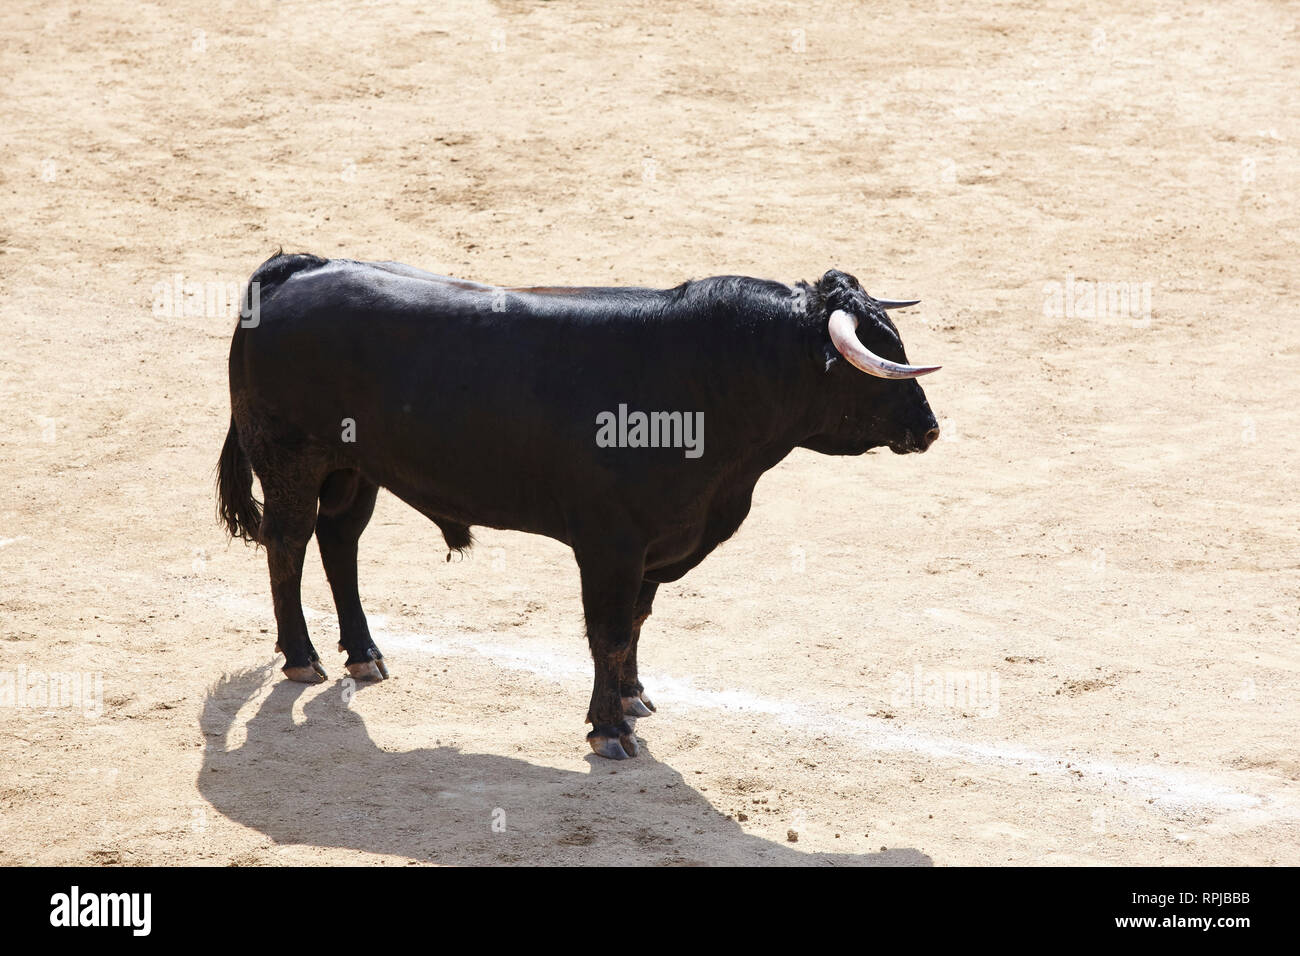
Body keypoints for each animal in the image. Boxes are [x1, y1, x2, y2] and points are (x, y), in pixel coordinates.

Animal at [217, 252, 941, 759]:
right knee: (287, 544)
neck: (712, 384)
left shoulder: (657, 545)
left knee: (339, 542)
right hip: (290, 460)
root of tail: (296, 269)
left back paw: (364, 654)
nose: (930, 429)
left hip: (354, 468)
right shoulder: (610, 545)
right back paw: (302, 657)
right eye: (874, 361)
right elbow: (609, 631)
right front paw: (608, 728)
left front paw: (633, 697)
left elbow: (636, 626)